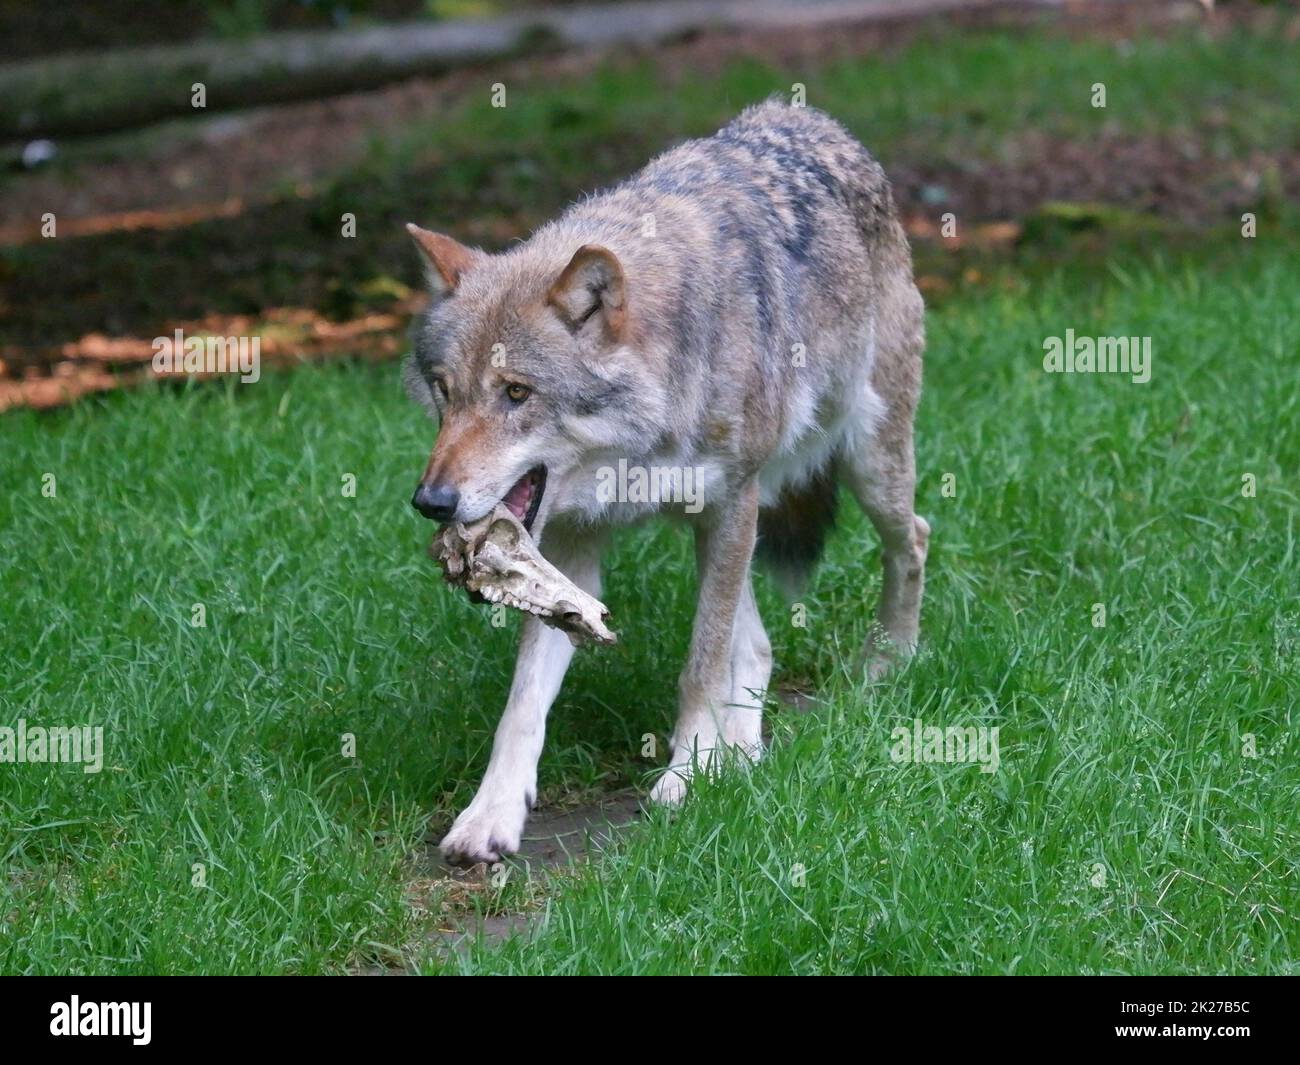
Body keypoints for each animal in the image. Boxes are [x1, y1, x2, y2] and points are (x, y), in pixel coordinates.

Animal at [404, 100, 928, 865]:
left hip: (863, 469)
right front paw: (490, 816)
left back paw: (889, 663)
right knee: (759, 645)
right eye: (444, 391)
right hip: (726, 522)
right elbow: (522, 704)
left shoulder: (731, 500)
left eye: (516, 393)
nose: (431, 501)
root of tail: (813, 121)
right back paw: (744, 751)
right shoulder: (572, 550)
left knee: (912, 539)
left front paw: (687, 775)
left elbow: (699, 666)